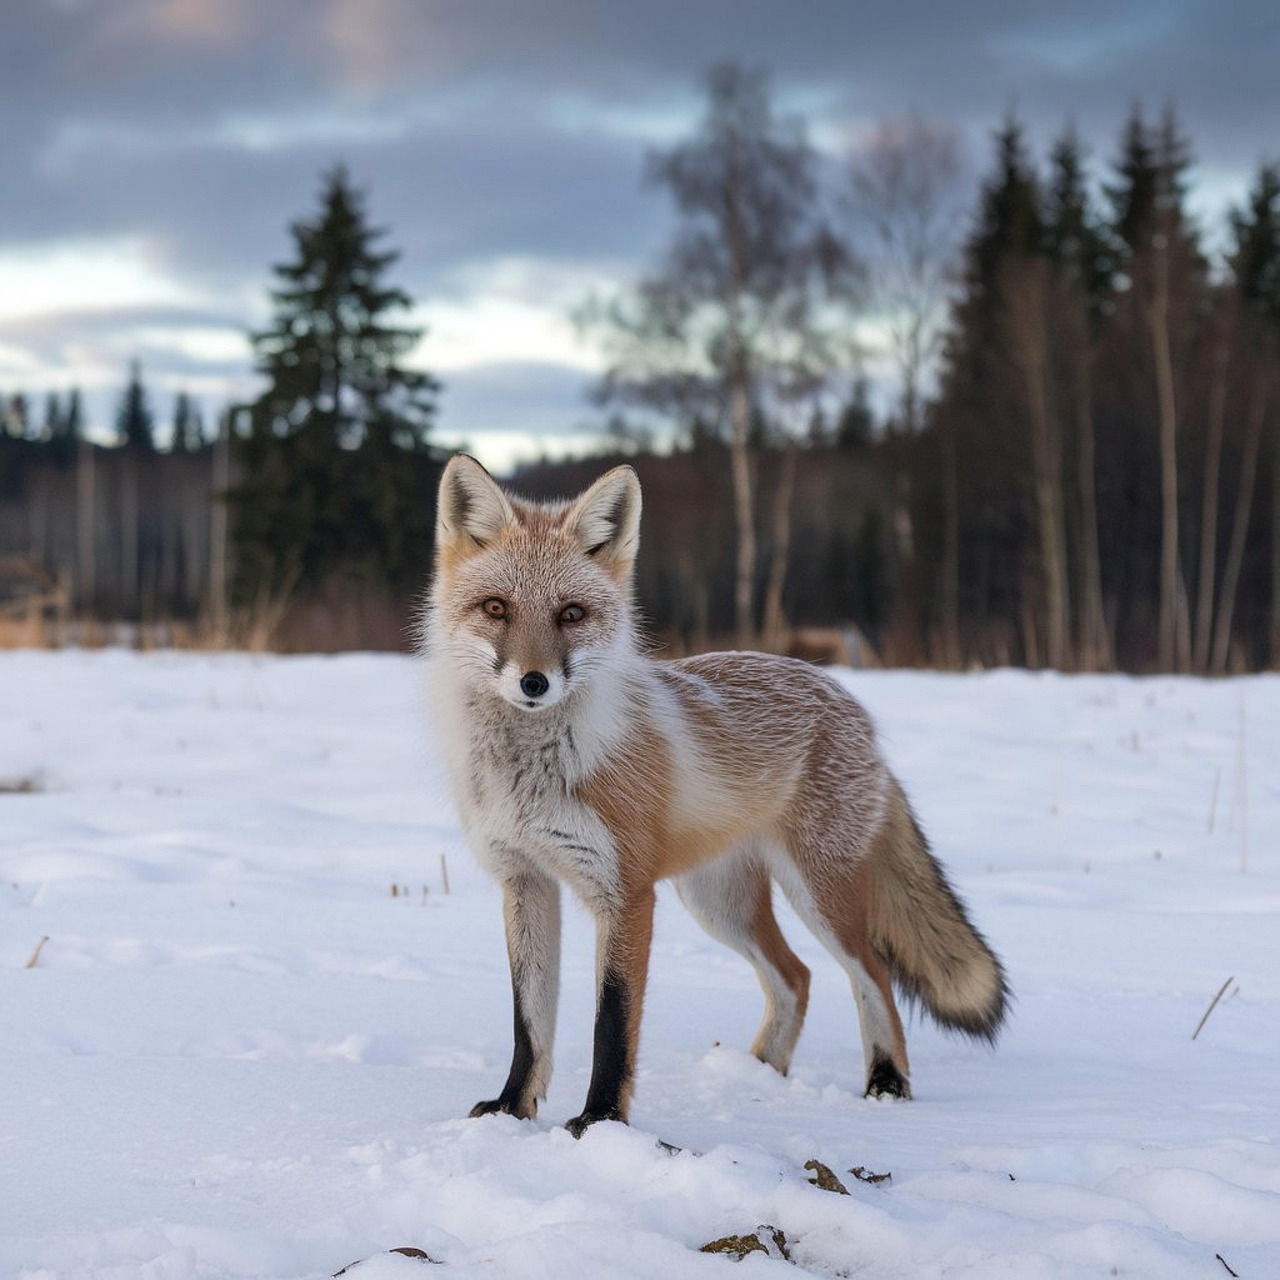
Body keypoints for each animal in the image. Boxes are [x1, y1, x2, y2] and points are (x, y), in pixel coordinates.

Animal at [423, 453, 1008, 1137]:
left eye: (571, 613)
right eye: (496, 607)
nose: (534, 683)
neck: (531, 774)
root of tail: (848, 700)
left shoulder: (625, 893)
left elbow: (611, 1027)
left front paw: (599, 1123)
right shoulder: (525, 880)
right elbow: (529, 1023)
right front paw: (511, 1111)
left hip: (817, 896)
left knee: (872, 975)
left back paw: (886, 1083)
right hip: (718, 904)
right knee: (796, 977)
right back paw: (758, 1076)